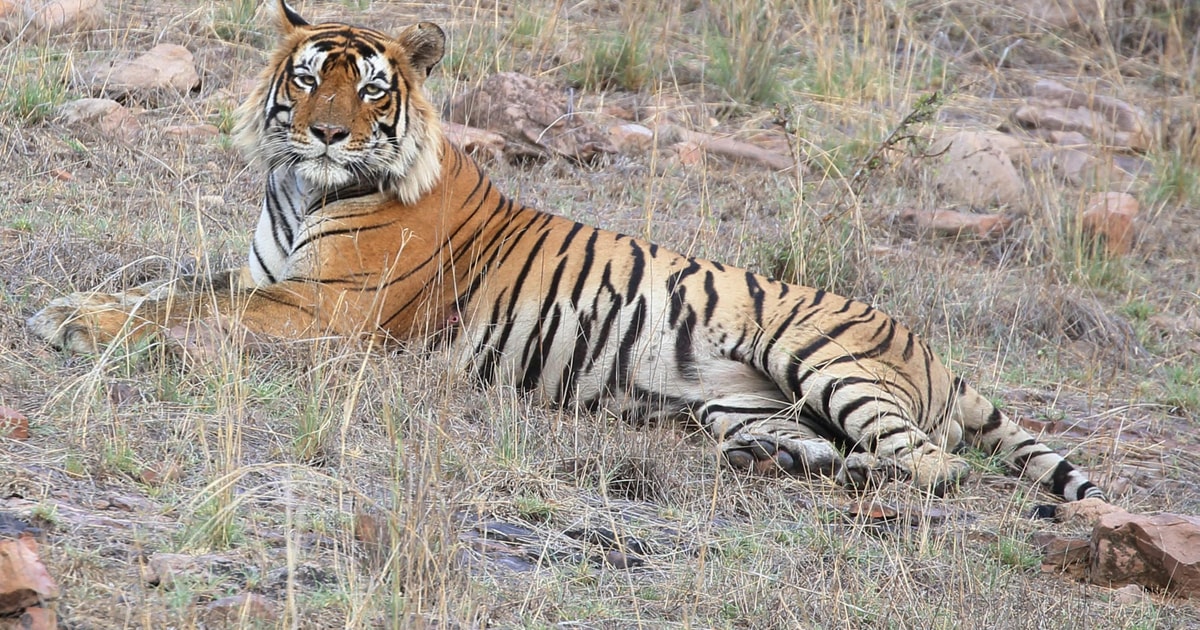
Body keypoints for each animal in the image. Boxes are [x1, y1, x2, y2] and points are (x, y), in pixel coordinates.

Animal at [27, 0, 1105, 506]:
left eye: (371, 88)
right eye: (306, 78)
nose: (329, 134)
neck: (298, 187)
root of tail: (937, 352)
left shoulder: (321, 311)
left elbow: (182, 307)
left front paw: (70, 320)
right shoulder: (270, 281)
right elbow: (171, 283)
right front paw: (78, 302)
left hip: (824, 360)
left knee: (934, 465)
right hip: (737, 401)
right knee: (822, 445)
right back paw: (774, 461)